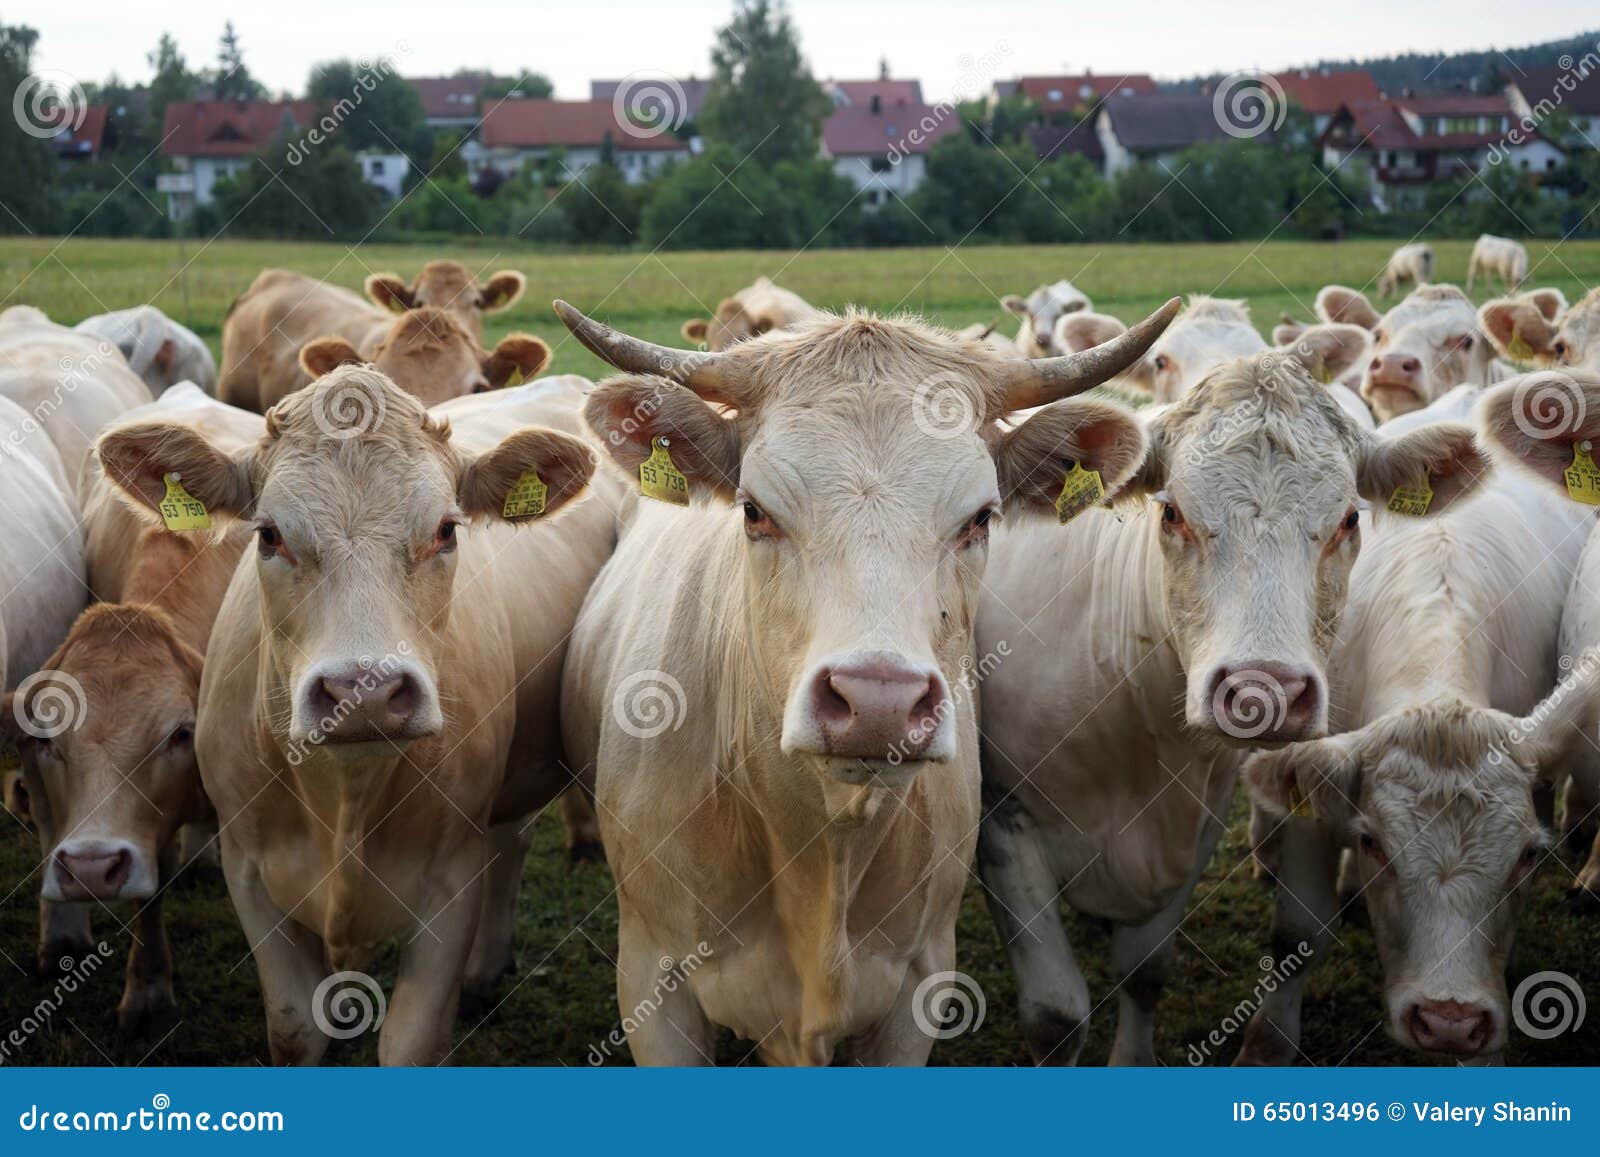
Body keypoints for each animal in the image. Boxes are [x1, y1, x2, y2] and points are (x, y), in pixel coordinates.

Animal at [95, 368, 615, 1065]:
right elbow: (296, 1028)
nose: (364, 693)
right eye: (268, 535)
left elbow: (410, 1042)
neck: (344, 795)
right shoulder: (248, 870)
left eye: (447, 530)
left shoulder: (451, 882)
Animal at [977, 351, 1490, 1065]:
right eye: (1171, 514)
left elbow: (1146, 970)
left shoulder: (1197, 822)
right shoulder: (1004, 823)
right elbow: (1056, 1017)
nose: (1263, 690)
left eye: (1350, 519)